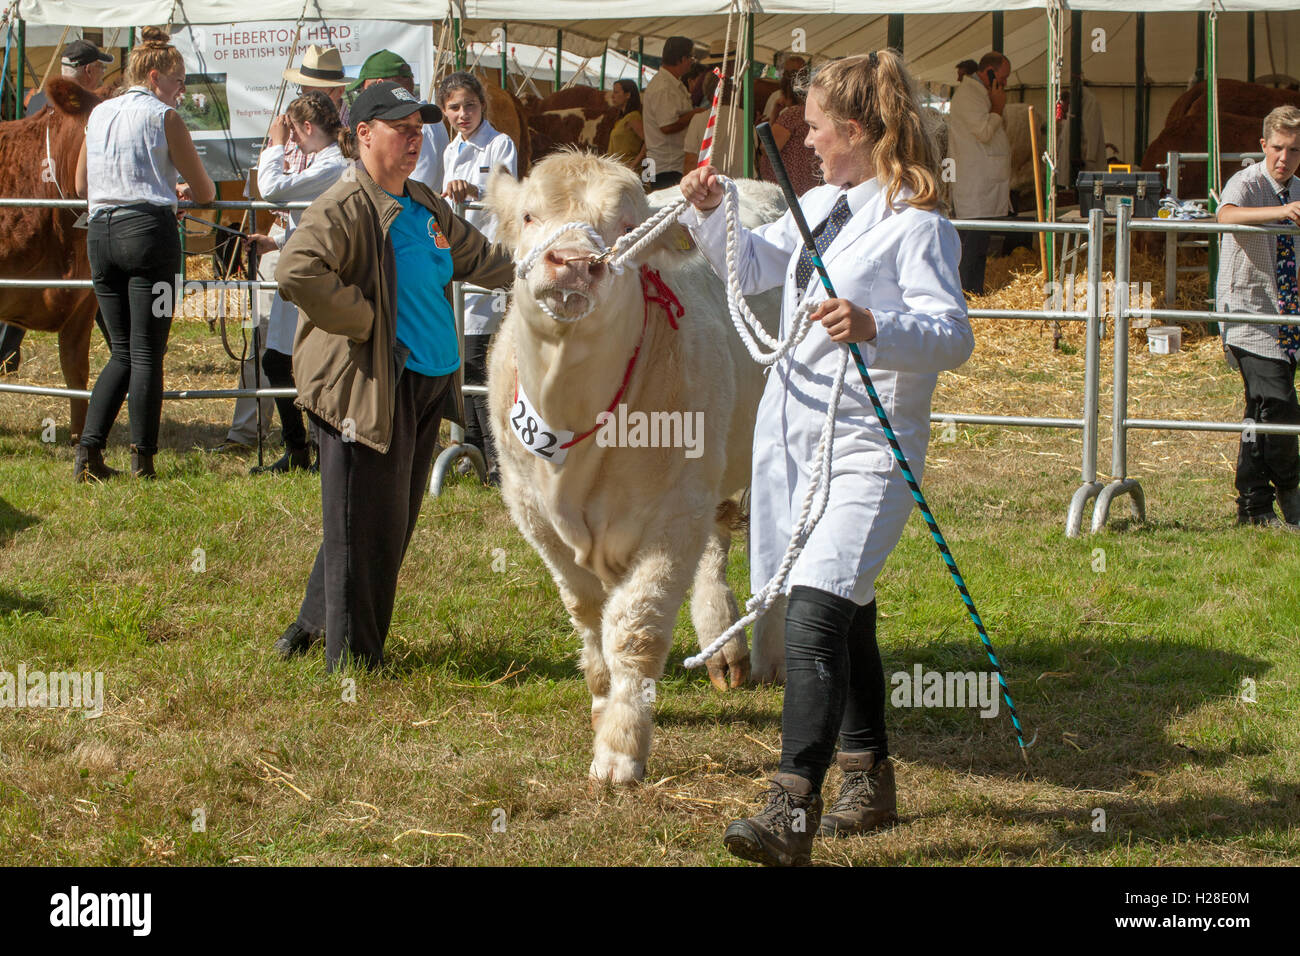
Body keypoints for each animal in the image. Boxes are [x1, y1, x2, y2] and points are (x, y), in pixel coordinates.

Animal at [484, 151, 784, 783]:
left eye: (627, 226)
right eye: (529, 215)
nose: (575, 263)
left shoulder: (670, 518)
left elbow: (635, 630)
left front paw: (621, 746)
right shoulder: (533, 513)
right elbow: (588, 611)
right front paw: (603, 699)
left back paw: (770, 650)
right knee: (715, 545)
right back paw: (723, 644)